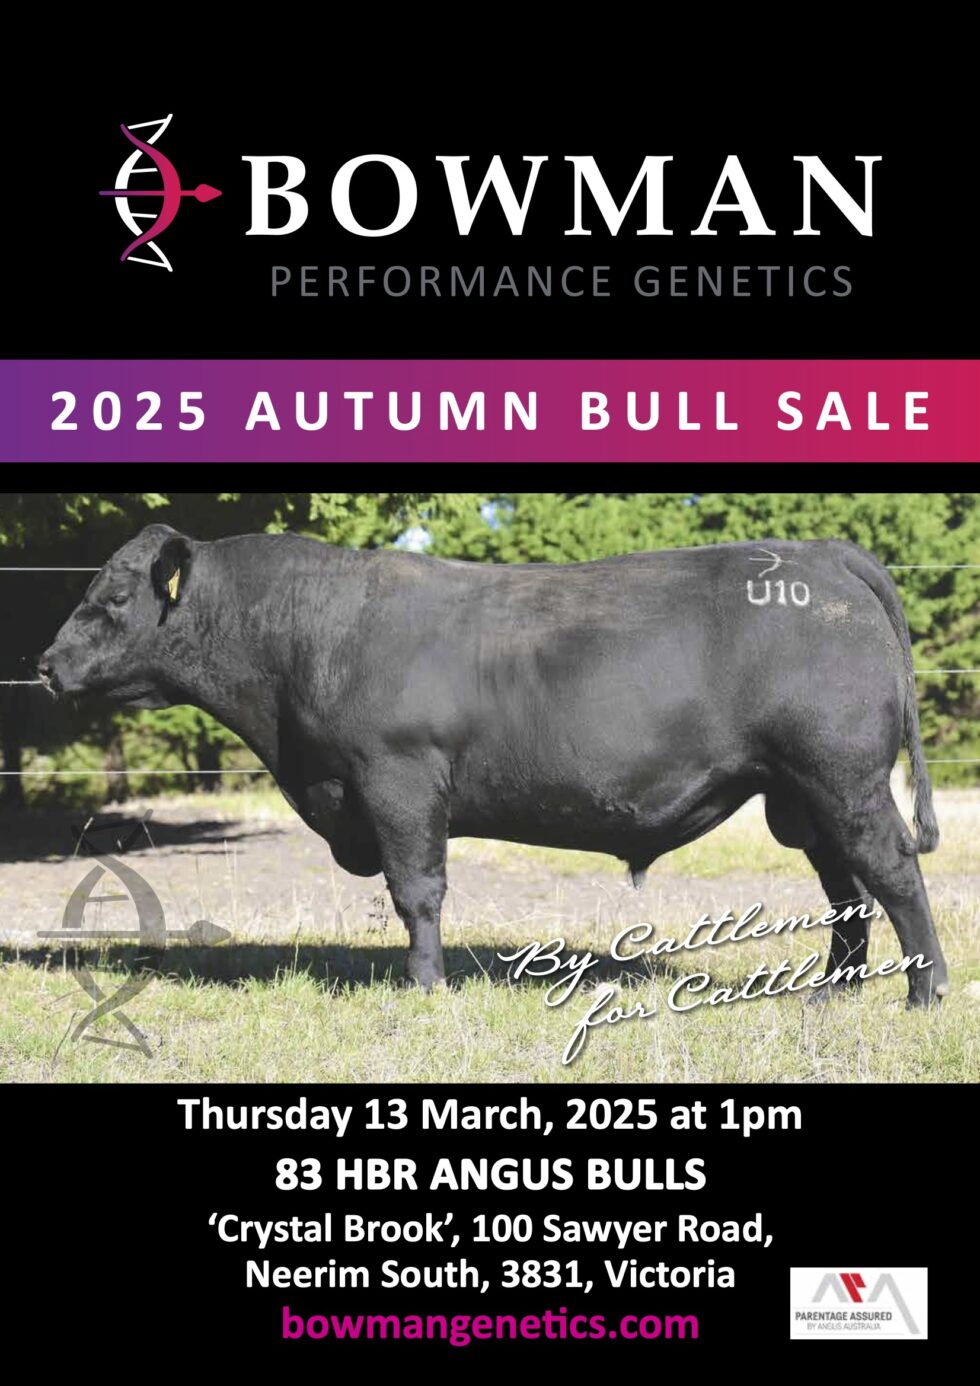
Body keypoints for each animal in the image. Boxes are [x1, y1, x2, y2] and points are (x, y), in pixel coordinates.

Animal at [37, 524, 948, 1005]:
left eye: (111, 601)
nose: (46, 665)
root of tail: (824, 553)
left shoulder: (397, 779)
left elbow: (417, 891)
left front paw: (426, 988)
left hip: (843, 777)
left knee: (892, 871)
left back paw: (924, 990)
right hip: (801, 795)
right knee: (846, 886)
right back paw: (836, 989)